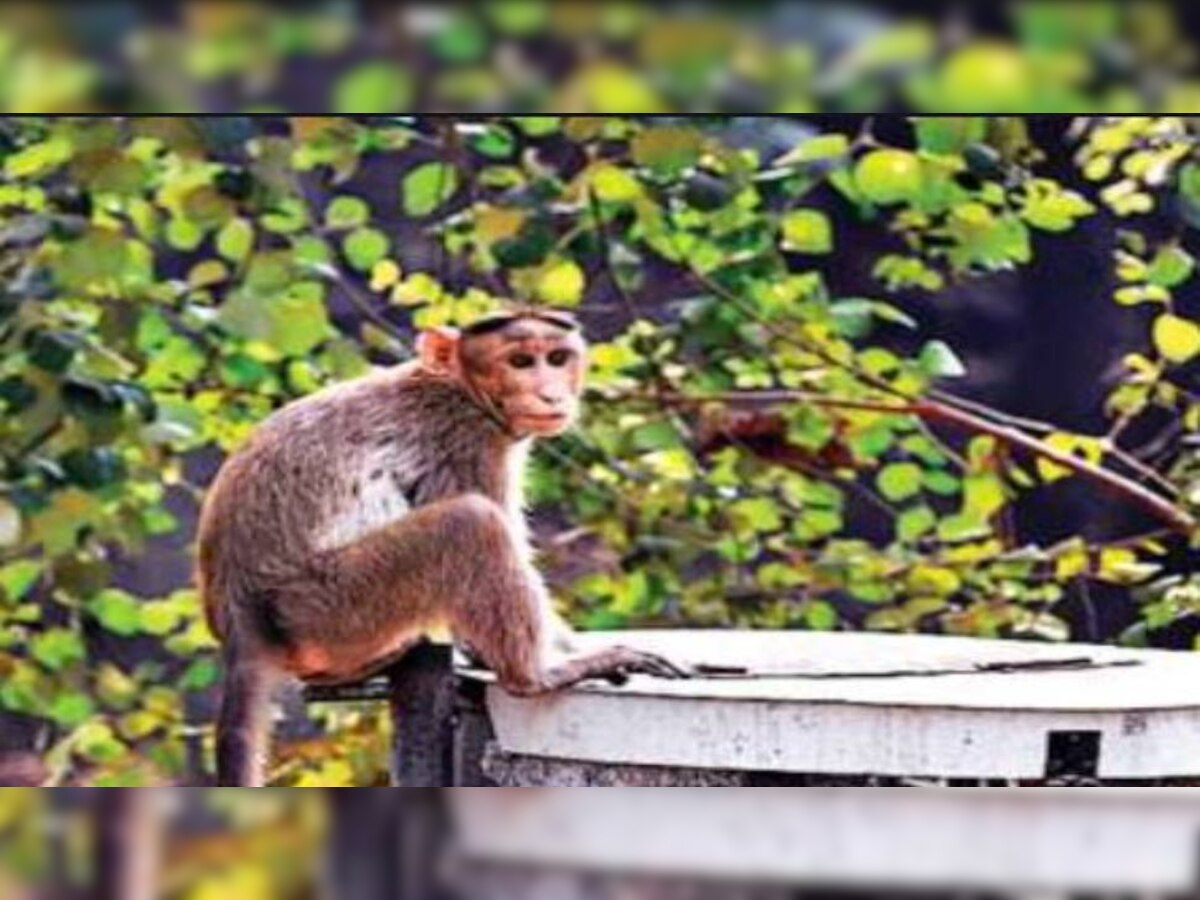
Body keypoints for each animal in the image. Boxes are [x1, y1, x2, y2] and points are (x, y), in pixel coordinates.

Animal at [197, 307, 687, 786]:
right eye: (520, 362)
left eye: (557, 358)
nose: (551, 395)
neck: (459, 386)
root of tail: (242, 621)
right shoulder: (469, 442)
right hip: (327, 606)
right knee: (471, 523)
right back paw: (533, 677)